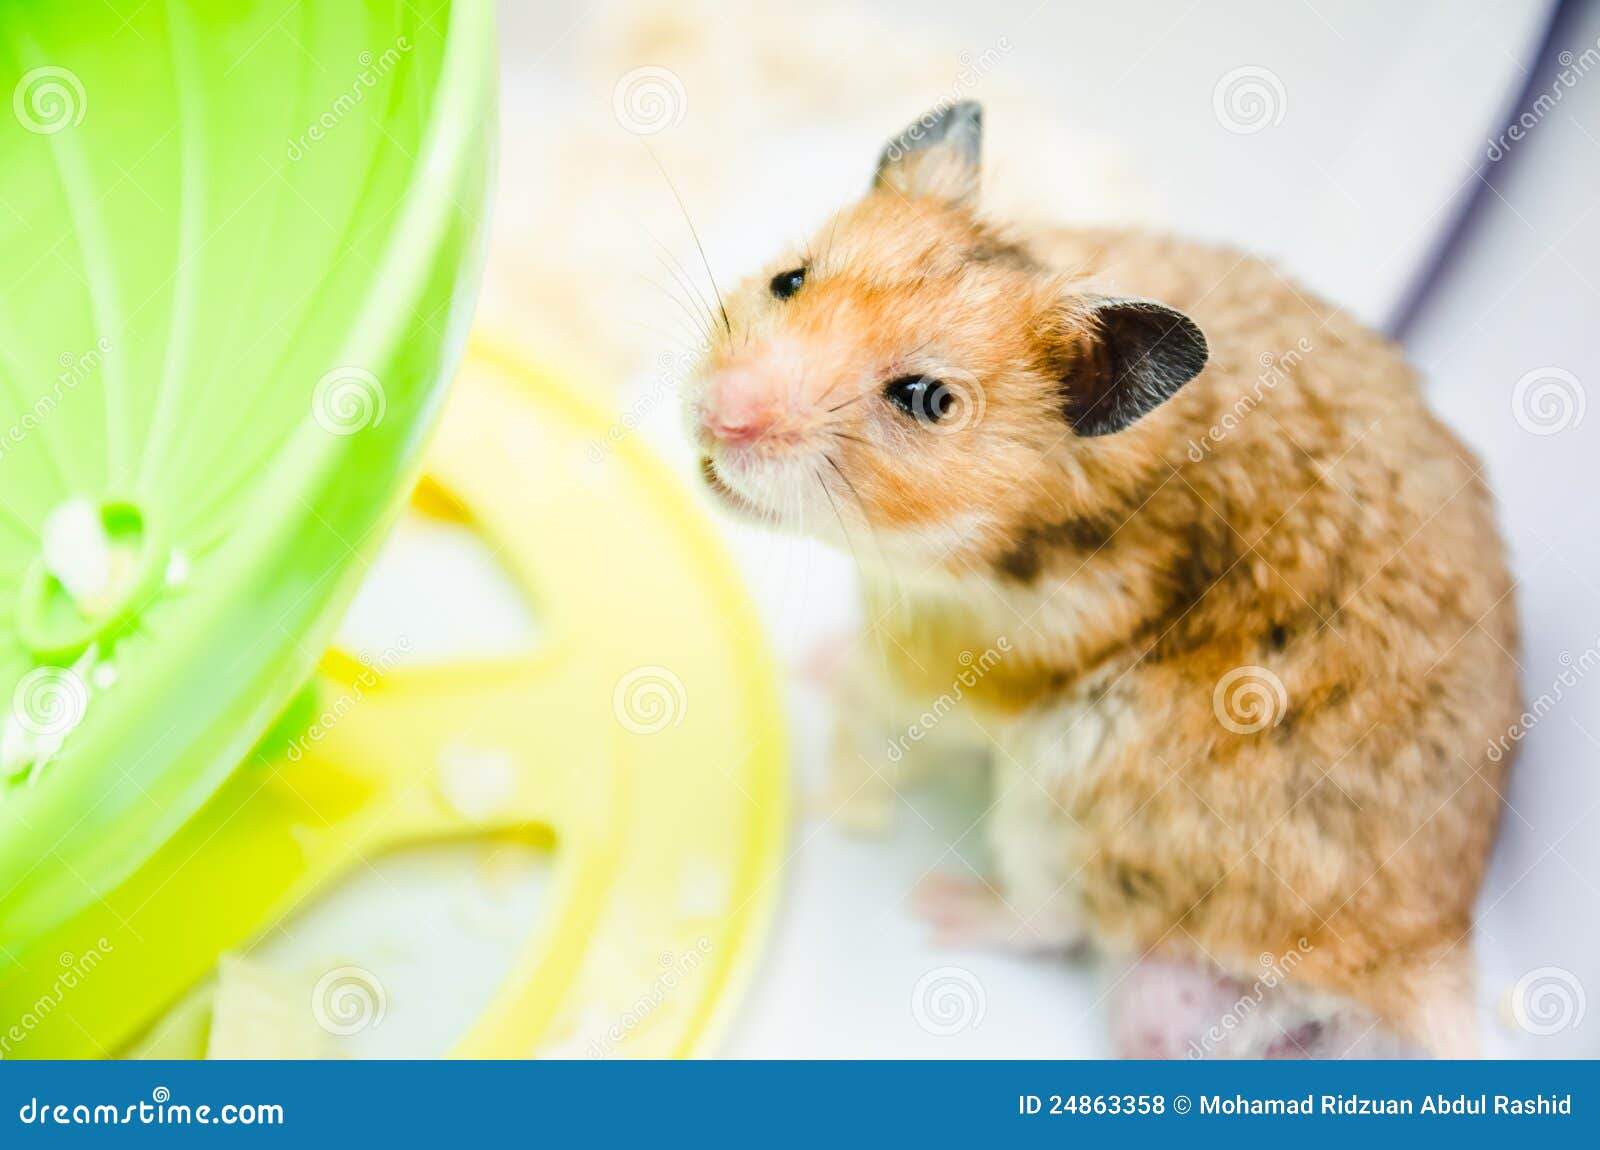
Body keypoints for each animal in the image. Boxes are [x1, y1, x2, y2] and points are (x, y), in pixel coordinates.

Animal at [684, 102, 1520, 1057]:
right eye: (790, 279)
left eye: (927, 398)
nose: (720, 414)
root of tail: (1431, 954)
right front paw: (814, 663)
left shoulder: (966, 660)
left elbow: (876, 696)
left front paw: (830, 771)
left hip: (1065, 790)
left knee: (1050, 922)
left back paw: (941, 906)